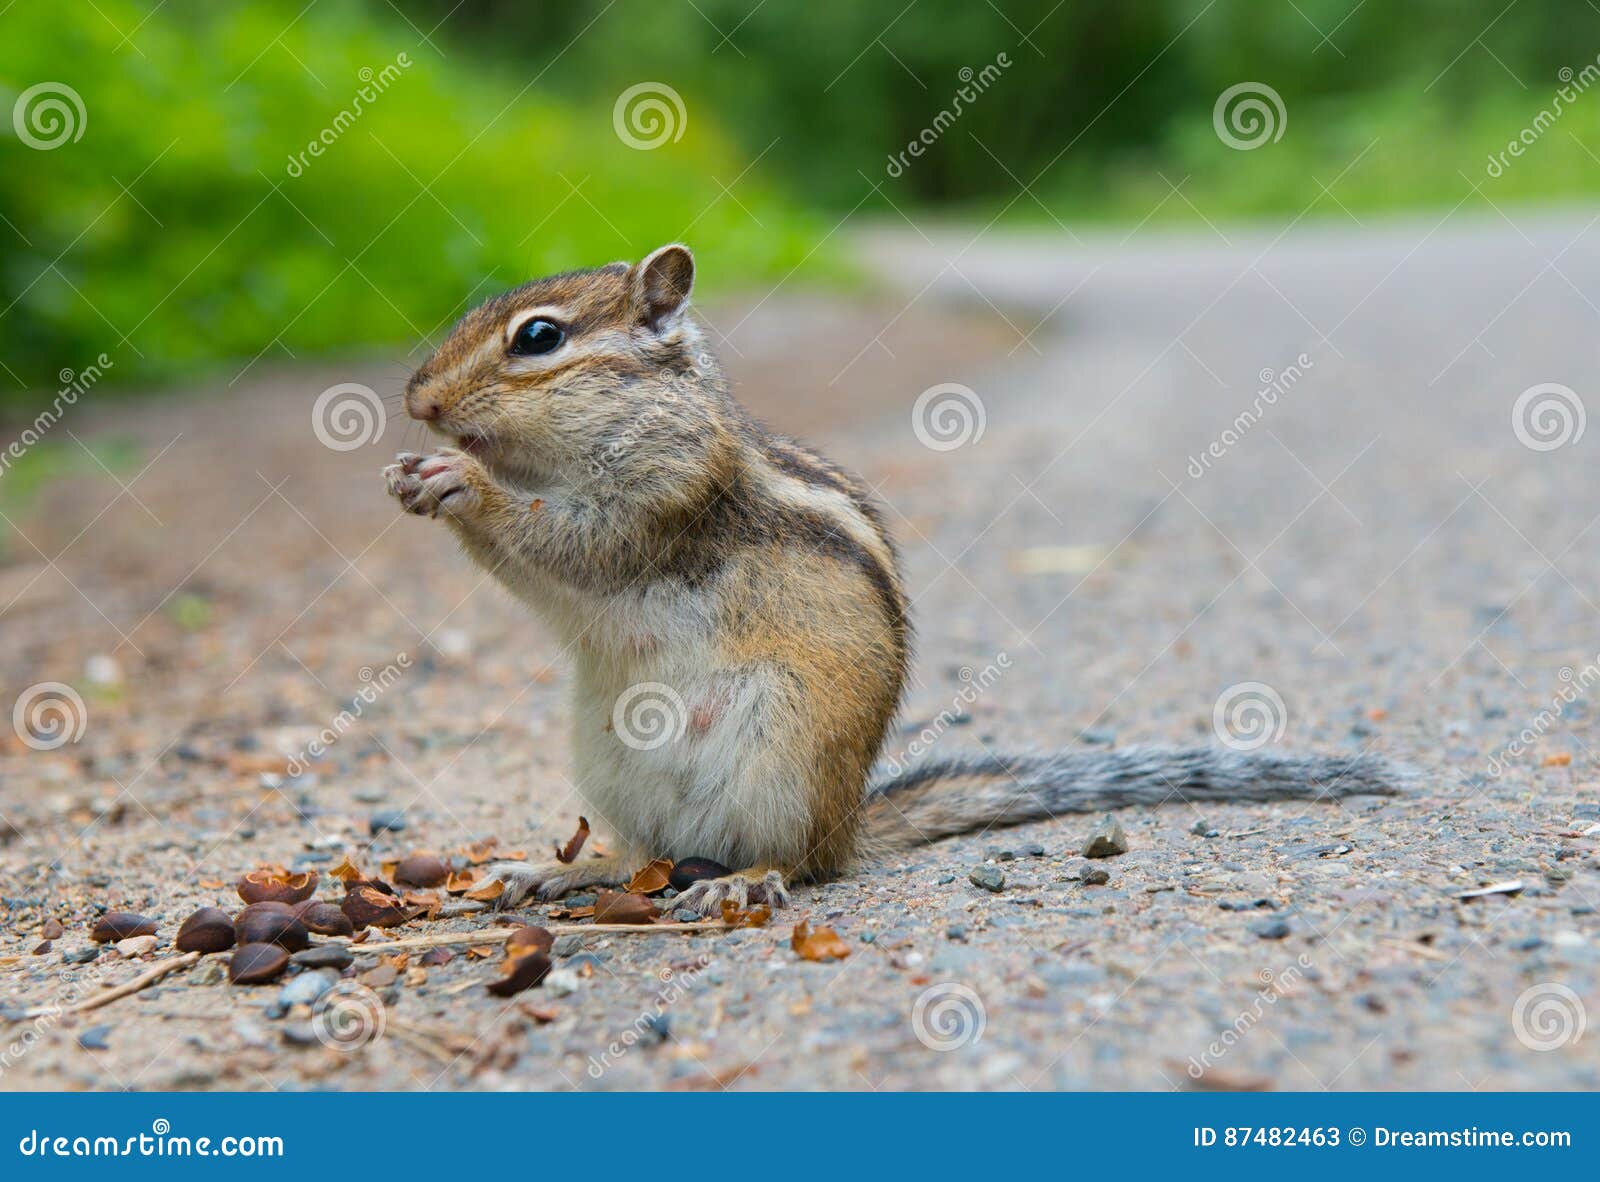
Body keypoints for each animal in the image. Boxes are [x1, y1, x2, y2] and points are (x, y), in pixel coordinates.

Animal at [383, 244, 1407, 916]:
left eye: (538, 337)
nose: (418, 398)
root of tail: (847, 822)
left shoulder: (661, 499)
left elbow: (568, 544)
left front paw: (460, 482)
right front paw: (409, 475)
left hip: (782, 760)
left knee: (798, 865)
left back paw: (748, 879)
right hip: (611, 768)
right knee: (645, 851)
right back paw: (568, 870)